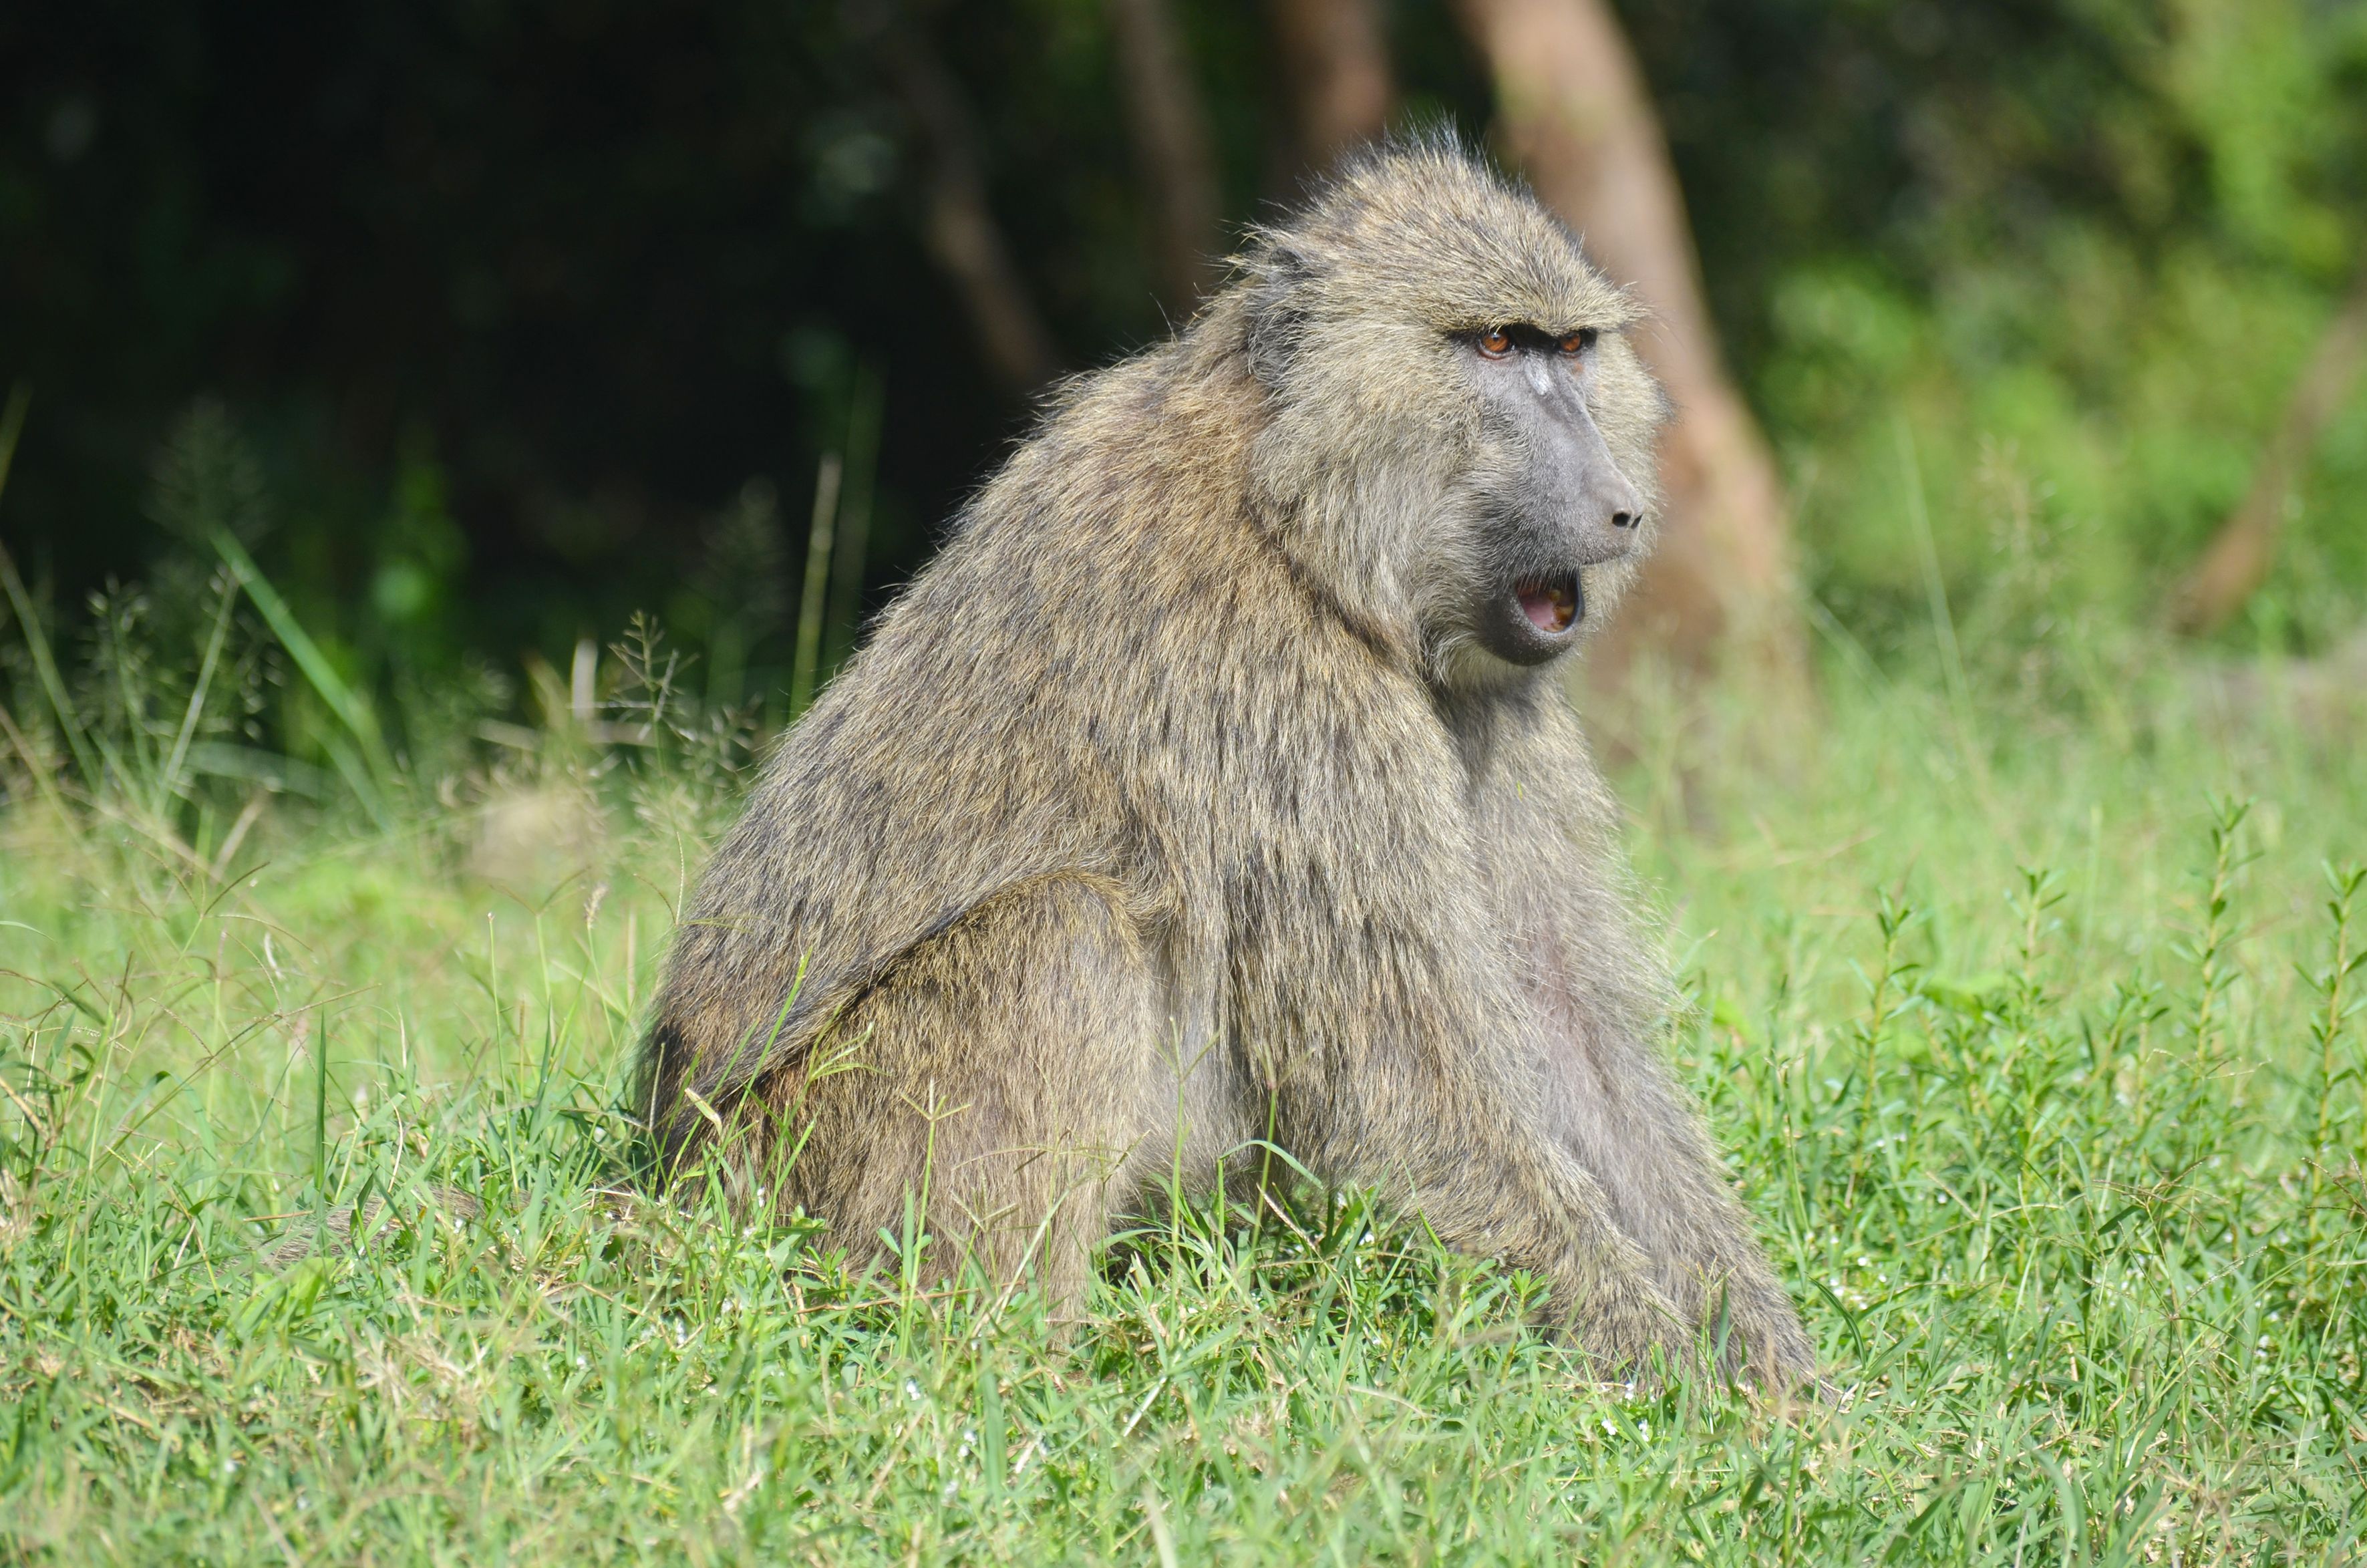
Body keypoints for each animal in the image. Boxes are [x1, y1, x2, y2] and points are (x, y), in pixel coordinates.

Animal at [637, 140, 1818, 1390]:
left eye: (1574, 348)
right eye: (1495, 346)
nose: (1620, 509)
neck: (1294, 507)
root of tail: (668, 1173)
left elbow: (1560, 1022)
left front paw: (1789, 1395)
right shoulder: (1287, 684)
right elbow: (1404, 1074)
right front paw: (1679, 1385)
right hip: (806, 1163)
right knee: (1064, 932)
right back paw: (1038, 1371)